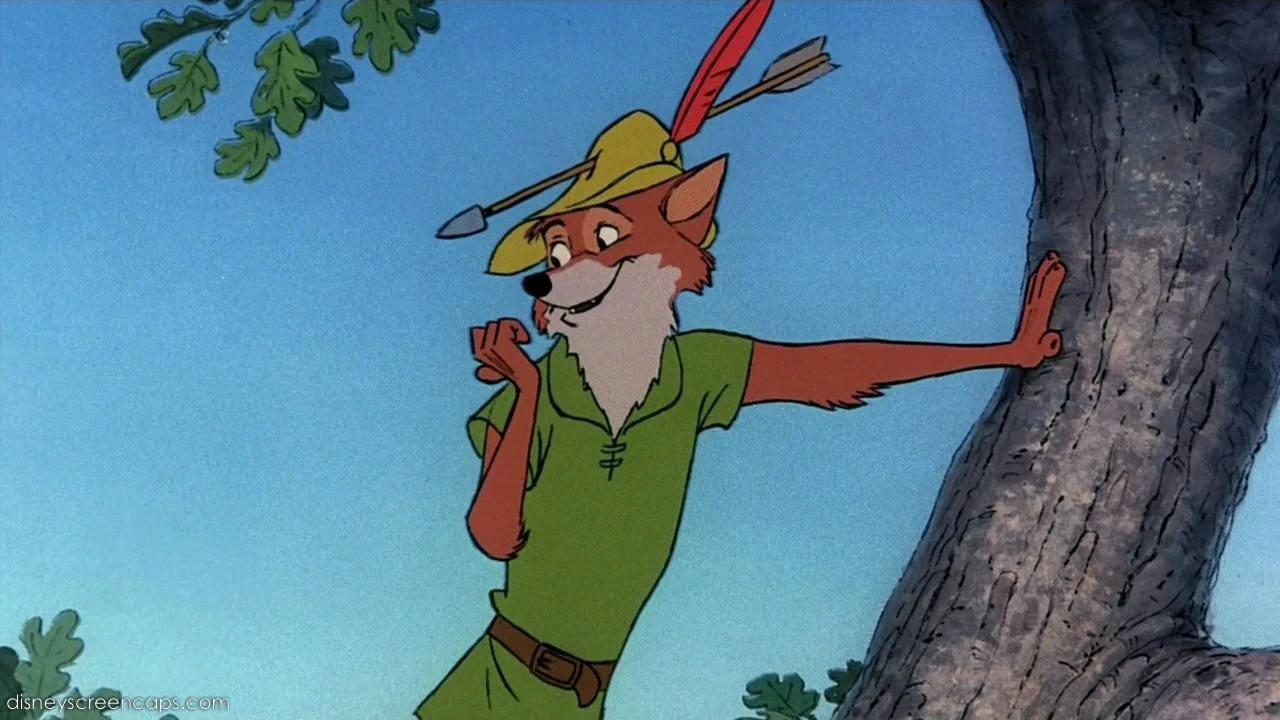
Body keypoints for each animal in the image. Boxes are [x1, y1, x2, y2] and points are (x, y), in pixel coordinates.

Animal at [415, 147, 1067, 719]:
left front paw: (1025, 338)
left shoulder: (717, 360)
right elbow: (494, 530)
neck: (616, 363)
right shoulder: (502, 429)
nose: (538, 287)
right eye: (552, 253)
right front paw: (512, 363)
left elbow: (835, 366)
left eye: (604, 235)